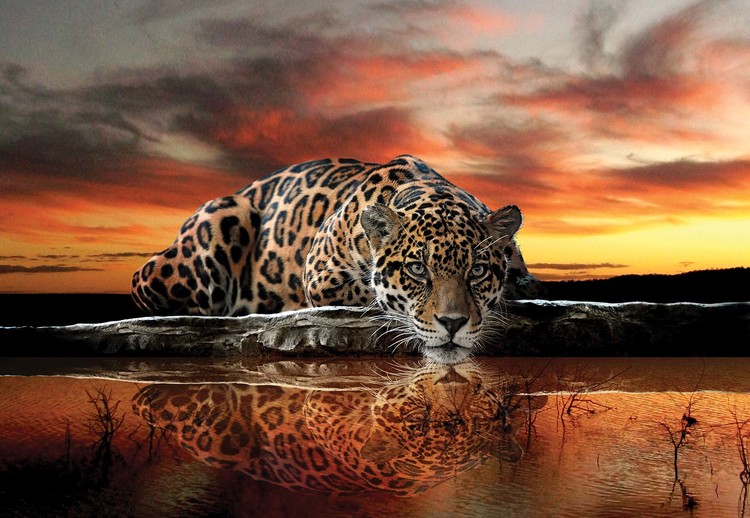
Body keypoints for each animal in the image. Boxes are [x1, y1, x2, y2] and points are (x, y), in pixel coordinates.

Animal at [131, 155, 545, 363]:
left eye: (477, 271)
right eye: (416, 269)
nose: (454, 324)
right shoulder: (321, 275)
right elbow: (374, 296)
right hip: (216, 226)